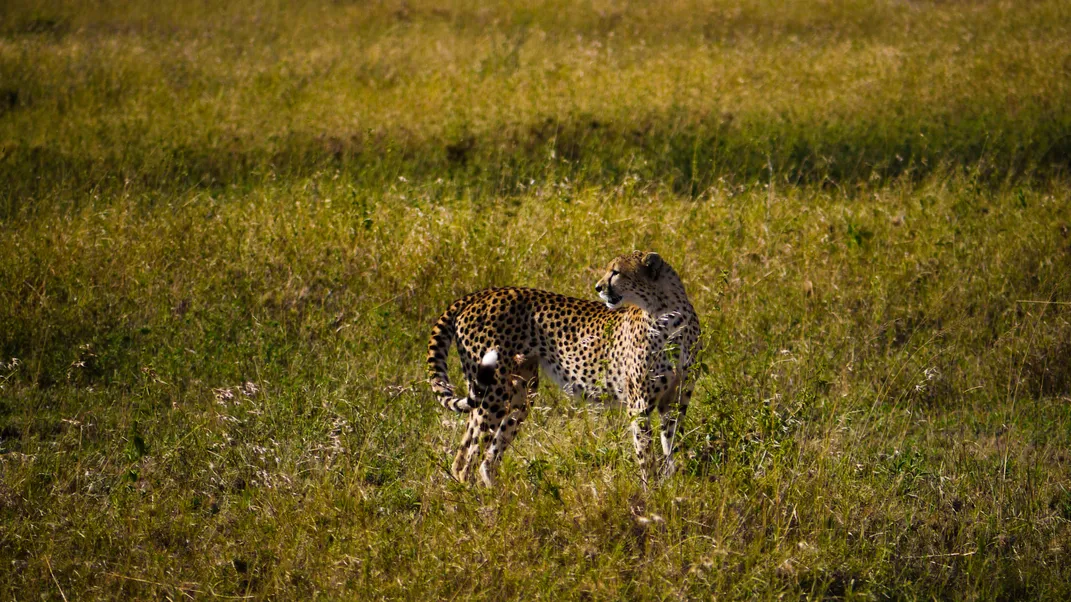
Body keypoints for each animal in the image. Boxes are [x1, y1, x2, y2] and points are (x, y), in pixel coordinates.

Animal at [426, 251, 701, 487]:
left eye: (616, 272)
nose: (598, 287)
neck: (667, 313)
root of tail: (483, 293)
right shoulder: (639, 402)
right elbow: (645, 449)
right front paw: (650, 493)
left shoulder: (676, 400)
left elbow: (672, 445)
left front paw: (673, 486)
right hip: (493, 391)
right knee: (466, 459)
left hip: (520, 392)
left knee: (483, 457)